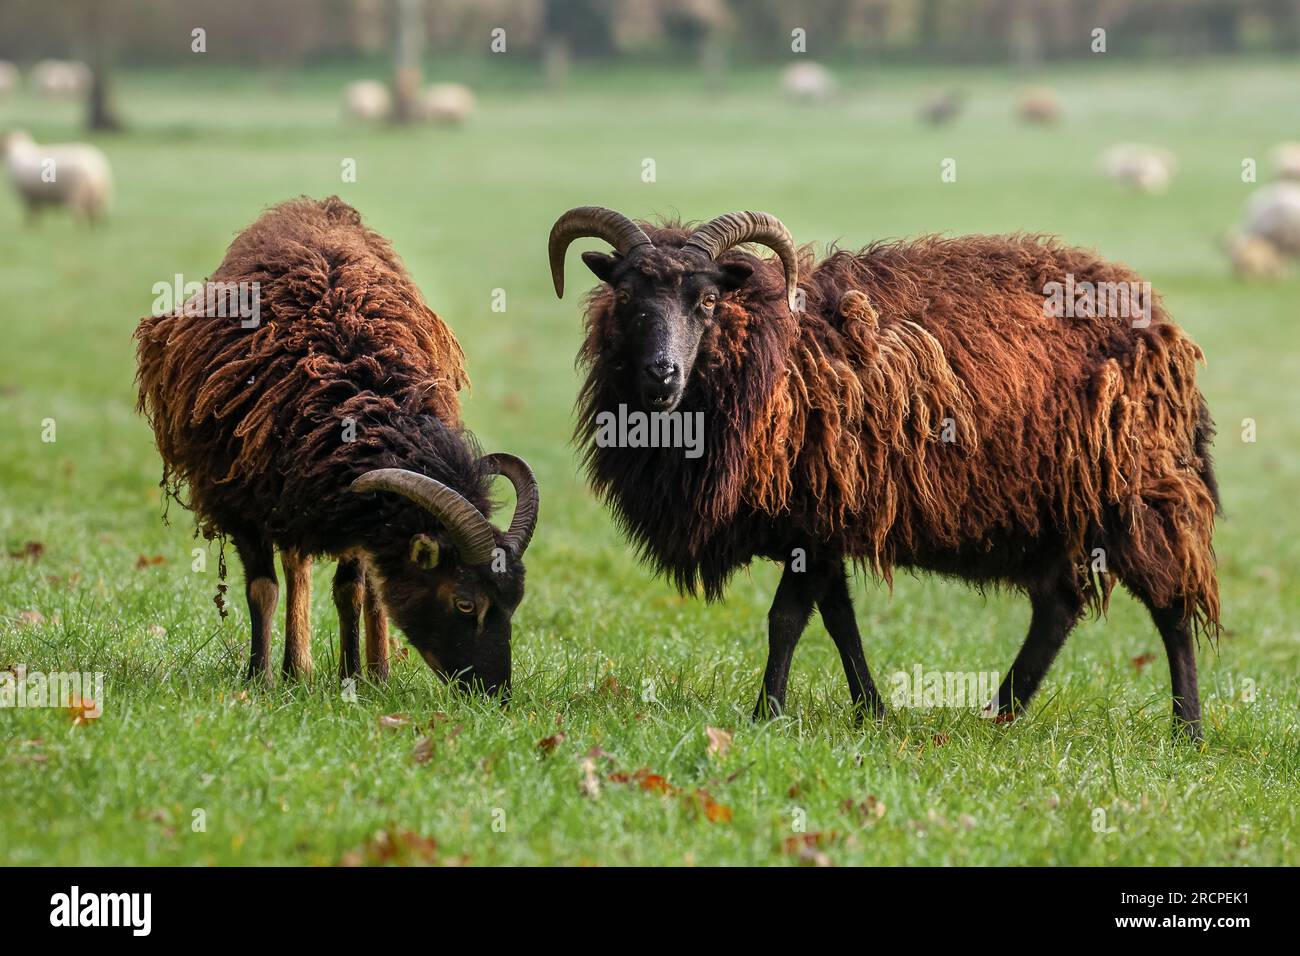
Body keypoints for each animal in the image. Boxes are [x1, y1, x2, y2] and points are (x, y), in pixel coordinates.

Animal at [133, 197, 538, 691]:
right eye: (464, 602)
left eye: (514, 603)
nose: (494, 694)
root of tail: (317, 207)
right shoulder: (242, 500)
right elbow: (262, 589)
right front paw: (259, 679)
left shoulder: (356, 505)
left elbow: (352, 591)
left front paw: (353, 680)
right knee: (296, 566)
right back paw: (295, 668)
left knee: (366, 588)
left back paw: (375, 672)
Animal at [548, 204, 1216, 738]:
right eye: (627, 299)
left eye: (708, 300)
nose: (662, 374)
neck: (774, 352)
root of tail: (1159, 319)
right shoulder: (819, 522)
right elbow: (838, 619)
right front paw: (870, 709)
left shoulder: (816, 517)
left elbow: (786, 620)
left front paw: (767, 713)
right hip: (1057, 511)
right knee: (1059, 606)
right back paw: (1001, 712)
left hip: (1139, 490)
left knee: (1170, 604)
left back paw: (1187, 729)